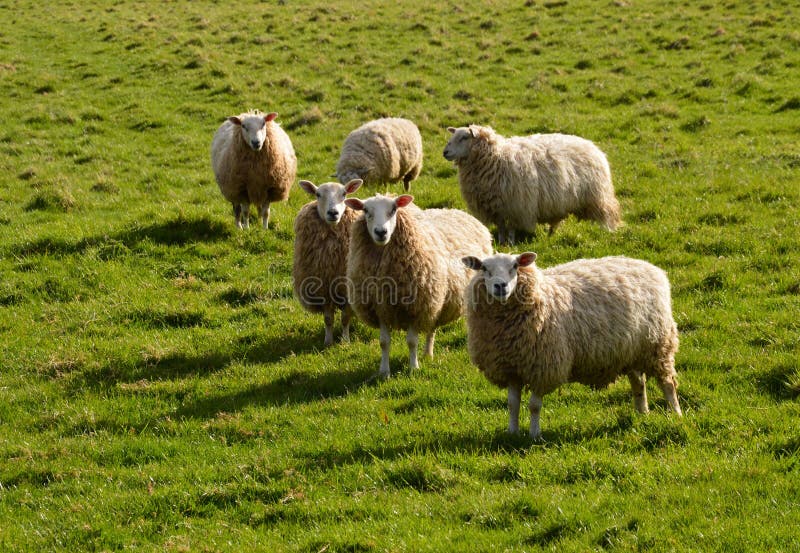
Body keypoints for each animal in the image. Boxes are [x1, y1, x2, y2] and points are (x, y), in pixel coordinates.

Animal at [292, 178, 363, 347]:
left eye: (344, 194)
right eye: (318, 194)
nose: (333, 213)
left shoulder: (346, 289)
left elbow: (345, 318)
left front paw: (345, 341)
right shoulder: (323, 288)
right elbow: (328, 319)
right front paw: (328, 342)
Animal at [345, 194, 492, 377]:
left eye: (394, 209)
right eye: (365, 210)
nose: (381, 232)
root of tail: (458, 211)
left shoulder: (416, 307)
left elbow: (411, 342)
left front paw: (413, 368)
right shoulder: (380, 309)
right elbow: (384, 342)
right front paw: (384, 372)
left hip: (434, 300)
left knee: (431, 330)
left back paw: (427, 355)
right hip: (437, 301)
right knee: (432, 326)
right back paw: (427, 353)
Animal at [443, 125, 621, 244]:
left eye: (464, 137)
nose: (445, 152)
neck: (495, 157)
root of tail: (592, 146)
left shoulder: (516, 205)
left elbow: (511, 228)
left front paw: (511, 243)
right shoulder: (496, 206)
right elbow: (501, 227)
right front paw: (500, 243)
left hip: (598, 196)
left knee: (607, 213)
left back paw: (609, 231)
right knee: (556, 221)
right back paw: (550, 235)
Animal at [461, 252, 682, 438]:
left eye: (515, 266)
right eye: (484, 268)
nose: (501, 286)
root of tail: (651, 268)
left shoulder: (544, 367)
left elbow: (534, 406)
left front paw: (534, 435)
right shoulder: (512, 367)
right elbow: (512, 404)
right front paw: (512, 433)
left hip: (659, 344)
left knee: (667, 383)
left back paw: (675, 414)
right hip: (631, 350)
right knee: (638, 382)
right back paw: (641, 413)